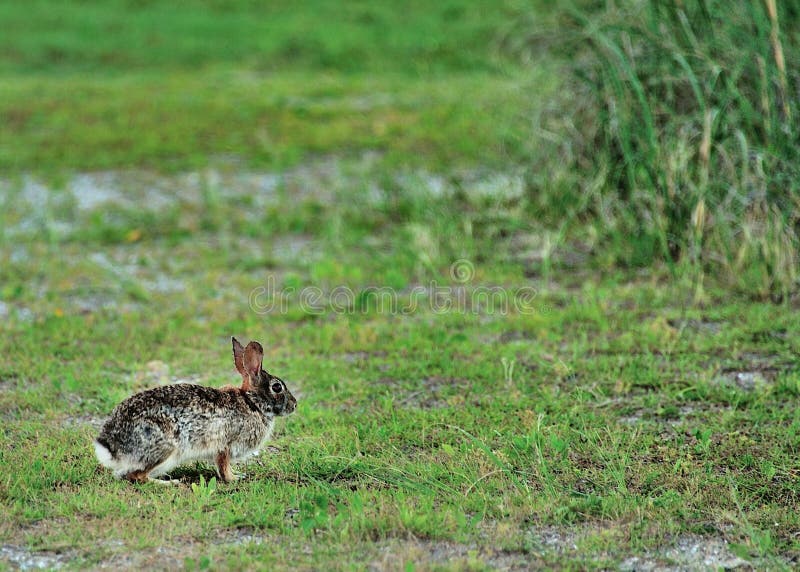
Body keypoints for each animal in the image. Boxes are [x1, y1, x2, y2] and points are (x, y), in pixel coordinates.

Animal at [93, 337, 297, 484]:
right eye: (277, 387)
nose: (294, 405)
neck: (252, 403)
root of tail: (111, 446)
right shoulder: (224, 445)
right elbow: (224, 467)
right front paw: (234, 479)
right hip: (165, 449)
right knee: (137, 476)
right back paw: (170, 483)